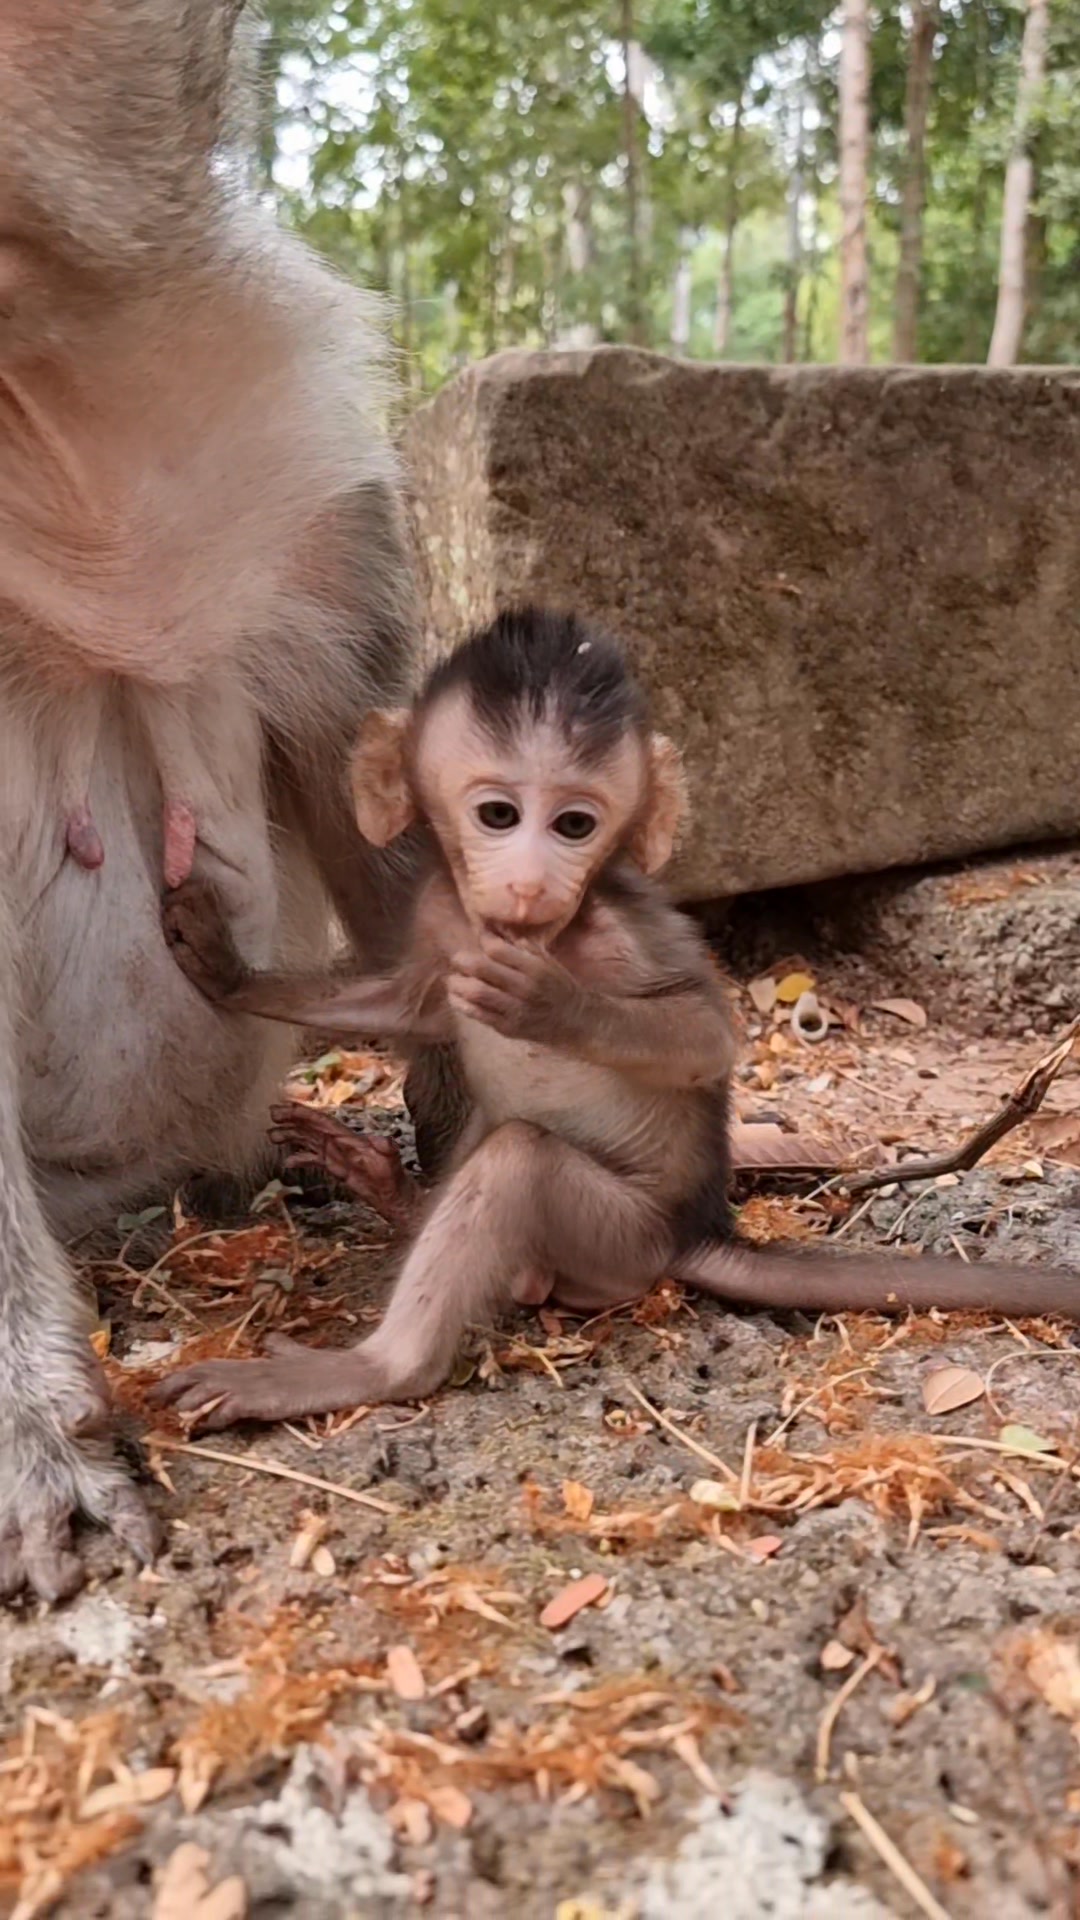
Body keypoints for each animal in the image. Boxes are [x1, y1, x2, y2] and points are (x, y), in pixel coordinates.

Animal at [151, 610, 1079, 1434]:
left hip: (617, 1237)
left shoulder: (618, 933)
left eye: (575, 824)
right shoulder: (440, 920)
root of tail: (695, 1233)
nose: (530, 884)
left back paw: (373, 1365)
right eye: (498, 815)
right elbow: (414, 1005)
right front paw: (226, 970)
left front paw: (548, 1002)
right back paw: (395, 1196)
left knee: (520, 1163)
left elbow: (703, 1037)